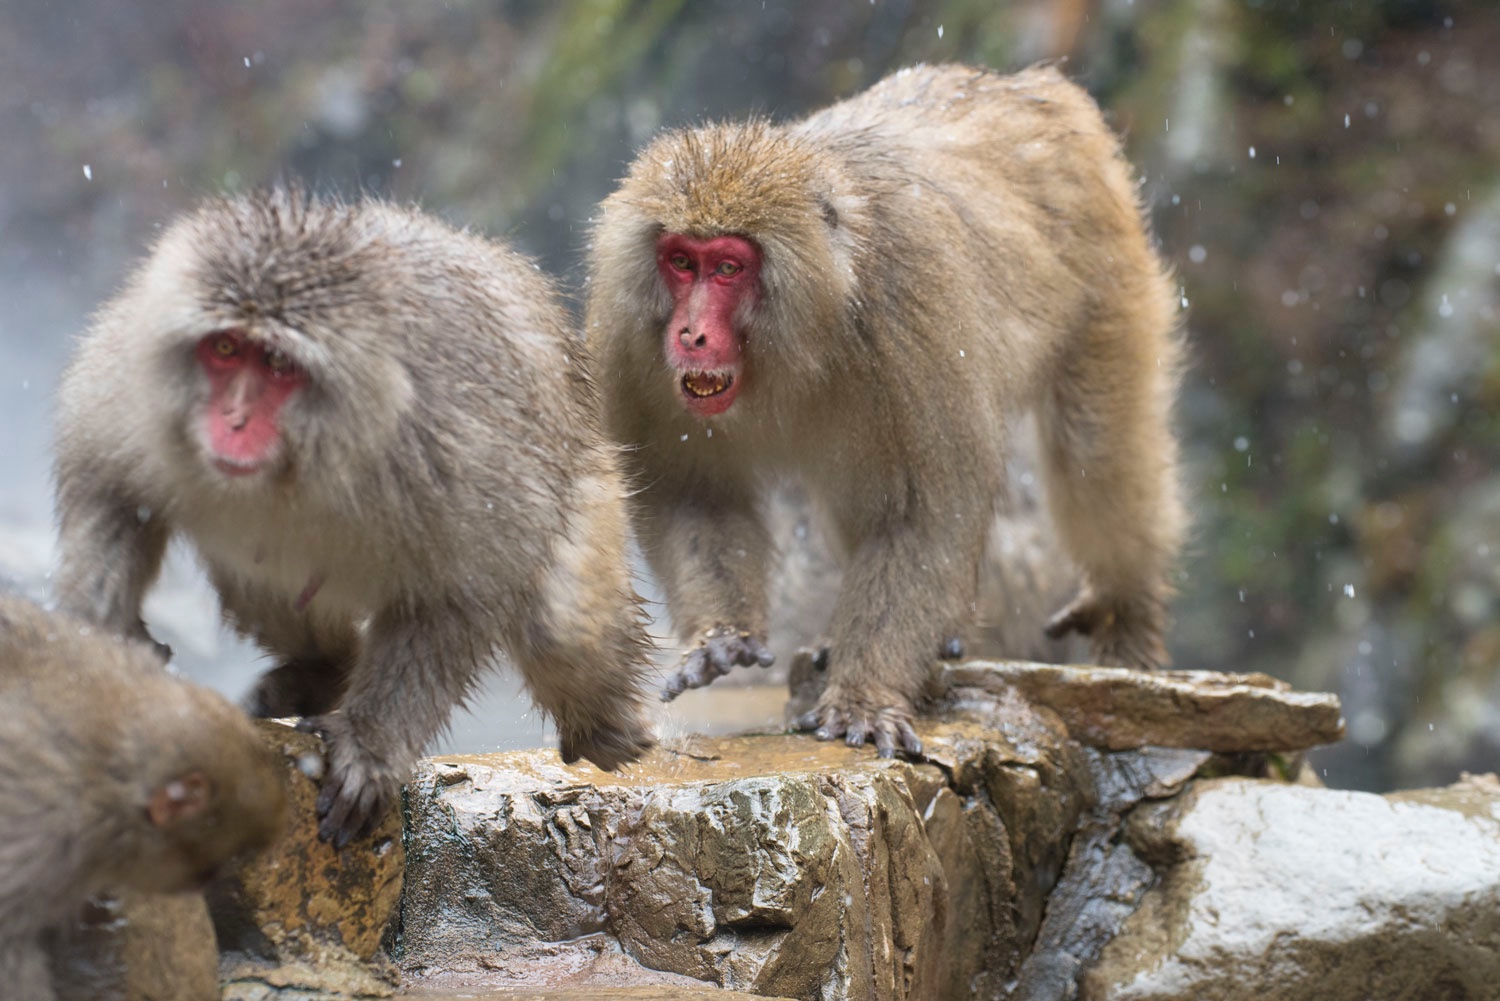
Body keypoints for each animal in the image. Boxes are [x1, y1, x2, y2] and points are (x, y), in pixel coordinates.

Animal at [53, 188, 656, 847]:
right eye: (226, 349)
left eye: (277, 364)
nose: (232, 421)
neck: (310, 456)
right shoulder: (136, 396)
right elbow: (106, 489)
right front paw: (100, 650)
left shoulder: (455, 449)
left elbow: (457, 598)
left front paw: (370, 751)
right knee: (263, 571)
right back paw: (322, 670)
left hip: (588, 476)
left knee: (561, 626)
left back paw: (610, 729)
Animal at [585, 64, 1185, 756]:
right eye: (682, 262)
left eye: (729, 267)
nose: (690, 334)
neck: (809, 325)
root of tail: (1020, 85)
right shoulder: (629, 338)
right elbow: (692, 494)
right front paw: (722, 636)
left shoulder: (911, 300)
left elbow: (925, 515)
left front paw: (866, 697)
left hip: (1108, 271)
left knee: (1096, 451)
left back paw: (1124, 611)